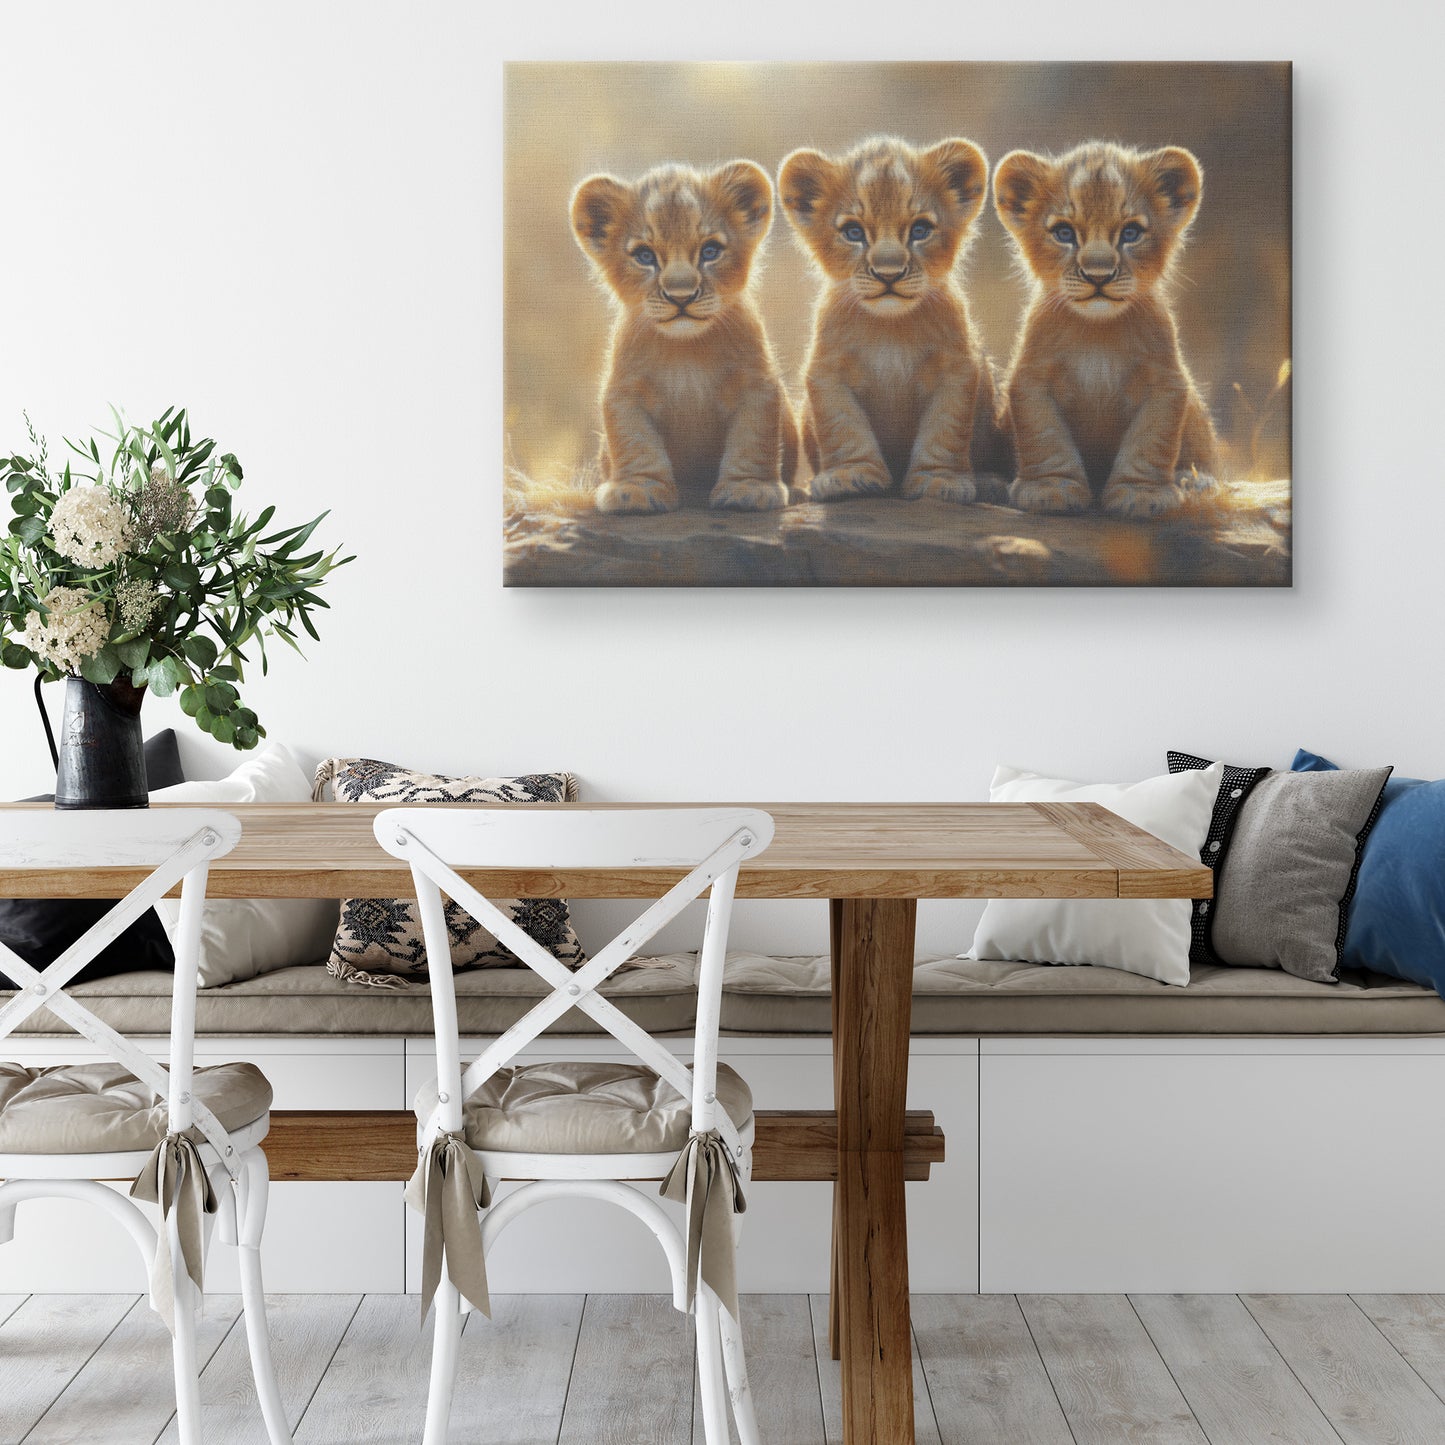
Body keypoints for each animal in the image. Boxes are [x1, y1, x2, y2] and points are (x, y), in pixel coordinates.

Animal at [570, 160, 794, 514]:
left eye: (711, 251)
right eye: (645, 256)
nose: (681, 296)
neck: (686, 350)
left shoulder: (757, 384)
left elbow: (753, 439)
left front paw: (749, 488)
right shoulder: (625, 390)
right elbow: (635, 441)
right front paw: (636, 489)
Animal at [778, 135, 1006, 505]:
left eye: (920, 229)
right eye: (853, 232)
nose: (889, 274)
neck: (890, 328)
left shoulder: (957, 369)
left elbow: (945, 430)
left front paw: (938, 480)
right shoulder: (828, 370)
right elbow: (843, 427)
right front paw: (850, 476)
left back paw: (989, 482)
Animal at [992, 141, 1218, 519]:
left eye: (1130, 233)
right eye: (1064, 233)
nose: (1098, 275)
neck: (1097, 333)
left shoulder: (1166, 381)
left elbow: (1149, 441)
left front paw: (1141, 494)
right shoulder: (1032, 380)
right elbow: (1046, 438)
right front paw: (1052, 489)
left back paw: (1196, 483)